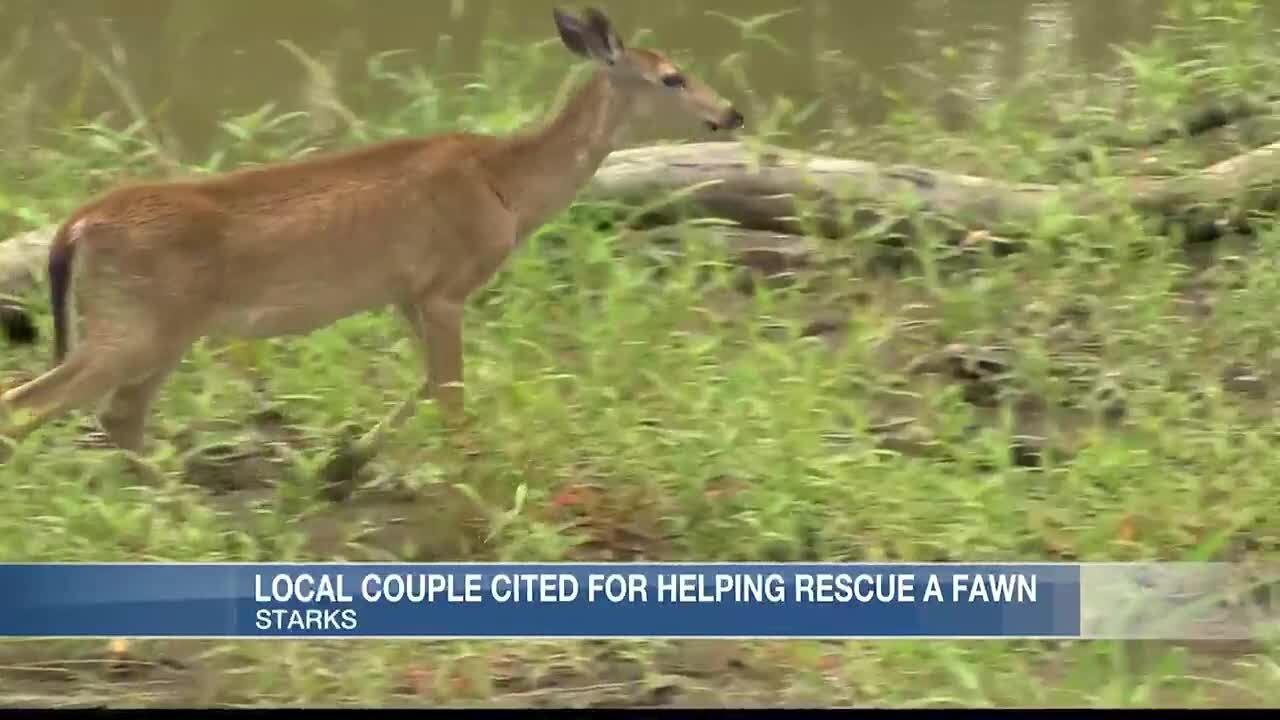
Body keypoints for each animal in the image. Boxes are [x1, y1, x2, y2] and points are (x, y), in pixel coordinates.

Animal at [0, 7, 744, 461]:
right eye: (673, 77)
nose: (733, 113)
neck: (507, 185)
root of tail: (76, 225)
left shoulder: (405, 292)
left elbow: (427, 382)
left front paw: (349, 461)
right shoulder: (447, 286)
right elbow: (451, 393)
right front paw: (468, 476)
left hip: (160, 331)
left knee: (115, 418)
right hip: (137, 325)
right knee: (32, 403)